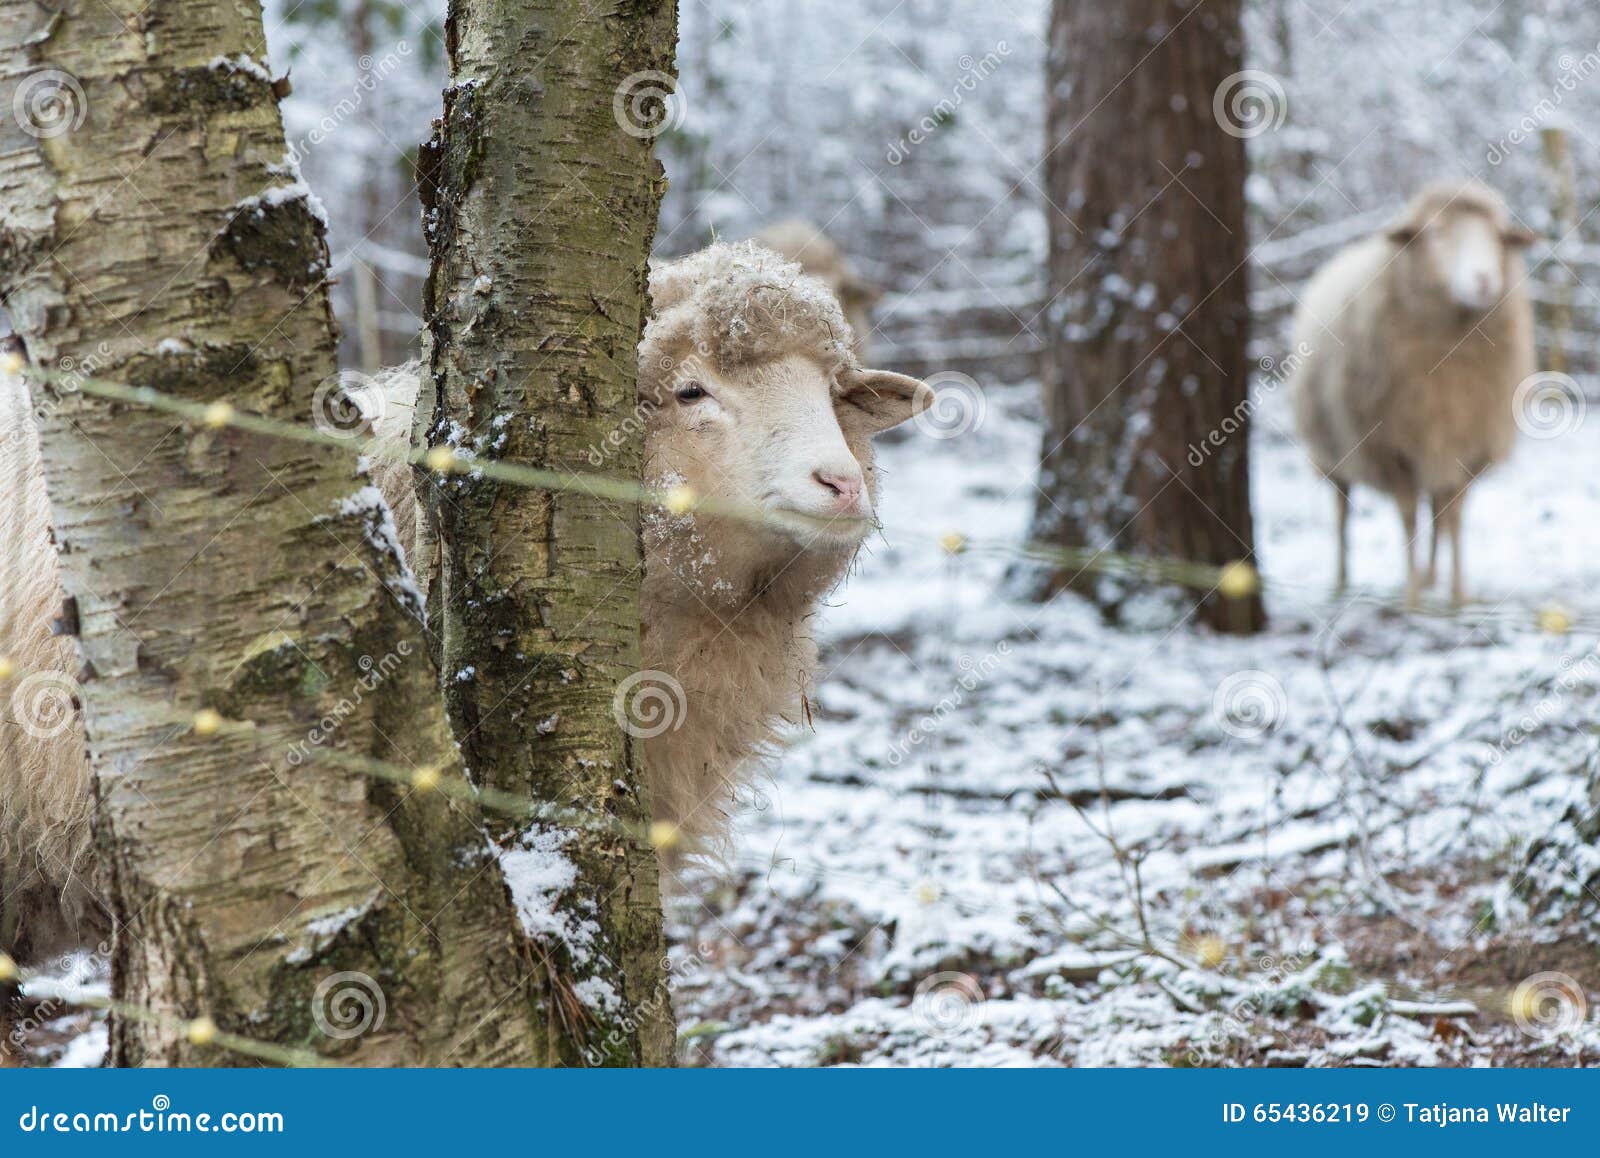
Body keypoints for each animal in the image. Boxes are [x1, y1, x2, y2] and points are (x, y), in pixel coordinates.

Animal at [1288, 180, 1536, 607]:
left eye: (1498, 237)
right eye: (1436, 232)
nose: (1484, 279)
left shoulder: (1465, 445)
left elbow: (1453, 517)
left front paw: (1456, 595)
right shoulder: (1389, 449)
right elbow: (1407, 518)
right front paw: (1413, 597)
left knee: (1436, 510)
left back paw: (1433, 576)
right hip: (1332, 452)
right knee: (1342, 510)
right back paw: (1343, 579)